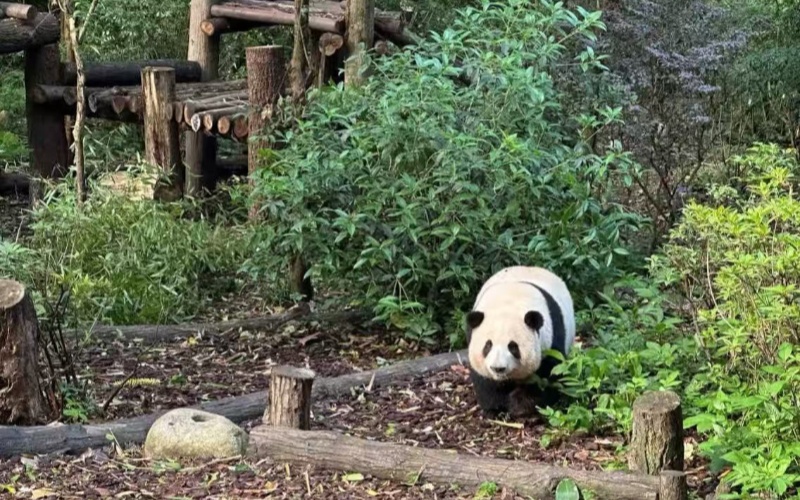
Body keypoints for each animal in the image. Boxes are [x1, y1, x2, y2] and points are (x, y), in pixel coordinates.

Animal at [465, 265, 576, 418]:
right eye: (488, 345)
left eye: (513, 347)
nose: (498, 368)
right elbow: (484, 380)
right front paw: (496, 409)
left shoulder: (551, 338)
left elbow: (547, 377)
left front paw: (520, 406)